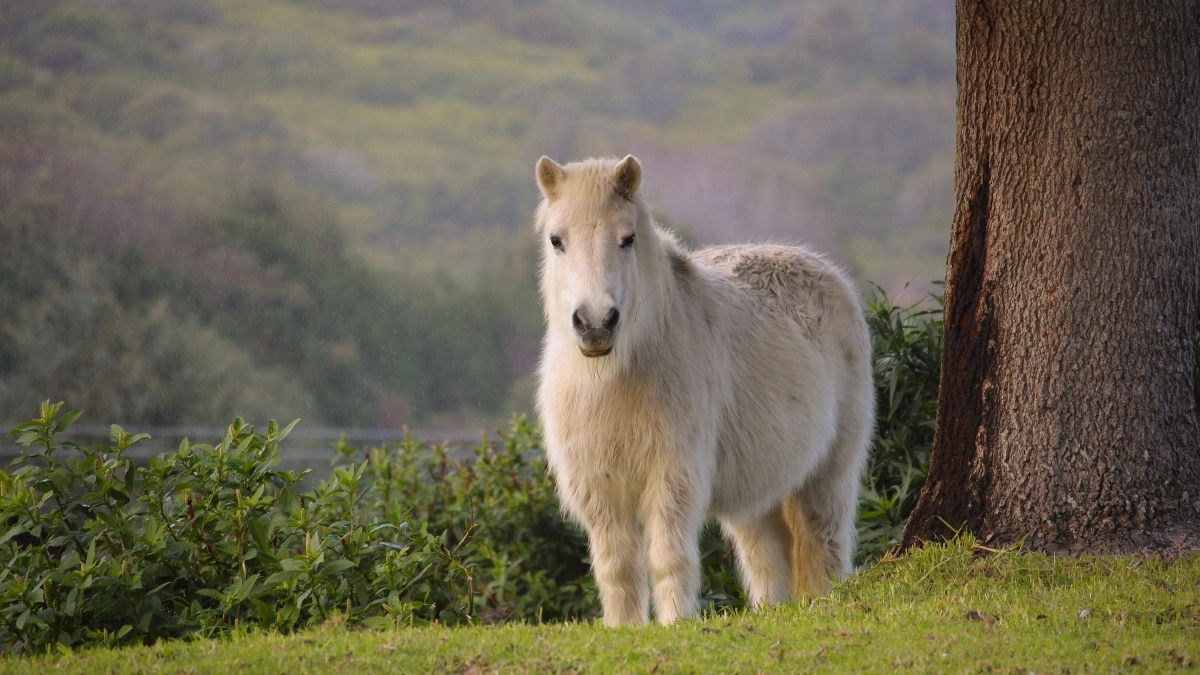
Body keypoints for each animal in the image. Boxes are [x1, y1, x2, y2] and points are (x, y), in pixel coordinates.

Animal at [533, 155, 874, 625]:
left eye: (627, 239)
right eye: (556, 240)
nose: (596, 324)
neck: (614, 379)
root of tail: (827, 272)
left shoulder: (672, 476)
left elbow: (668, 556)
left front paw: (676, 623)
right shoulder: (598, 488)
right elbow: (616, 567)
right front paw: (625, 628)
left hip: (828, 476)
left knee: (826, 545)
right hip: (757, 496)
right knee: (768, 559)